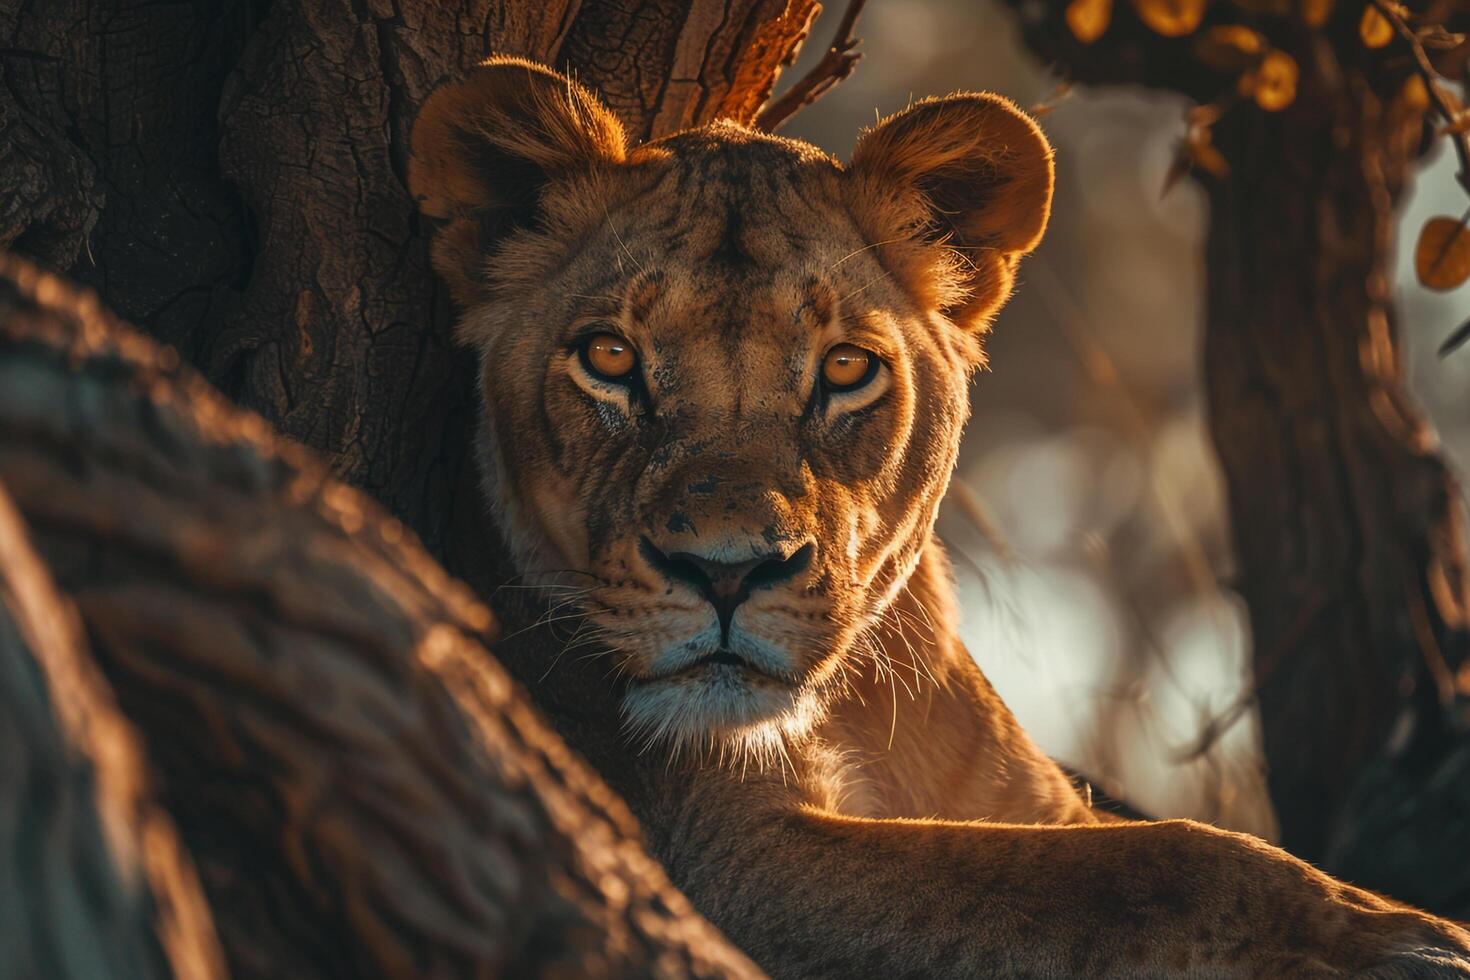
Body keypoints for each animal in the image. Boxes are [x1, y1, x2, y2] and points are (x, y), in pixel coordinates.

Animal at [408, 56, 1470, 977]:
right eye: (610, 358)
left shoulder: (1038, 803)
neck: (858, 721)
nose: (726, 572)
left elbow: (1096, 851)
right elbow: (1138, 867)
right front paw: (1394, 941)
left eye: (845, 368)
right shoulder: (712, 862)